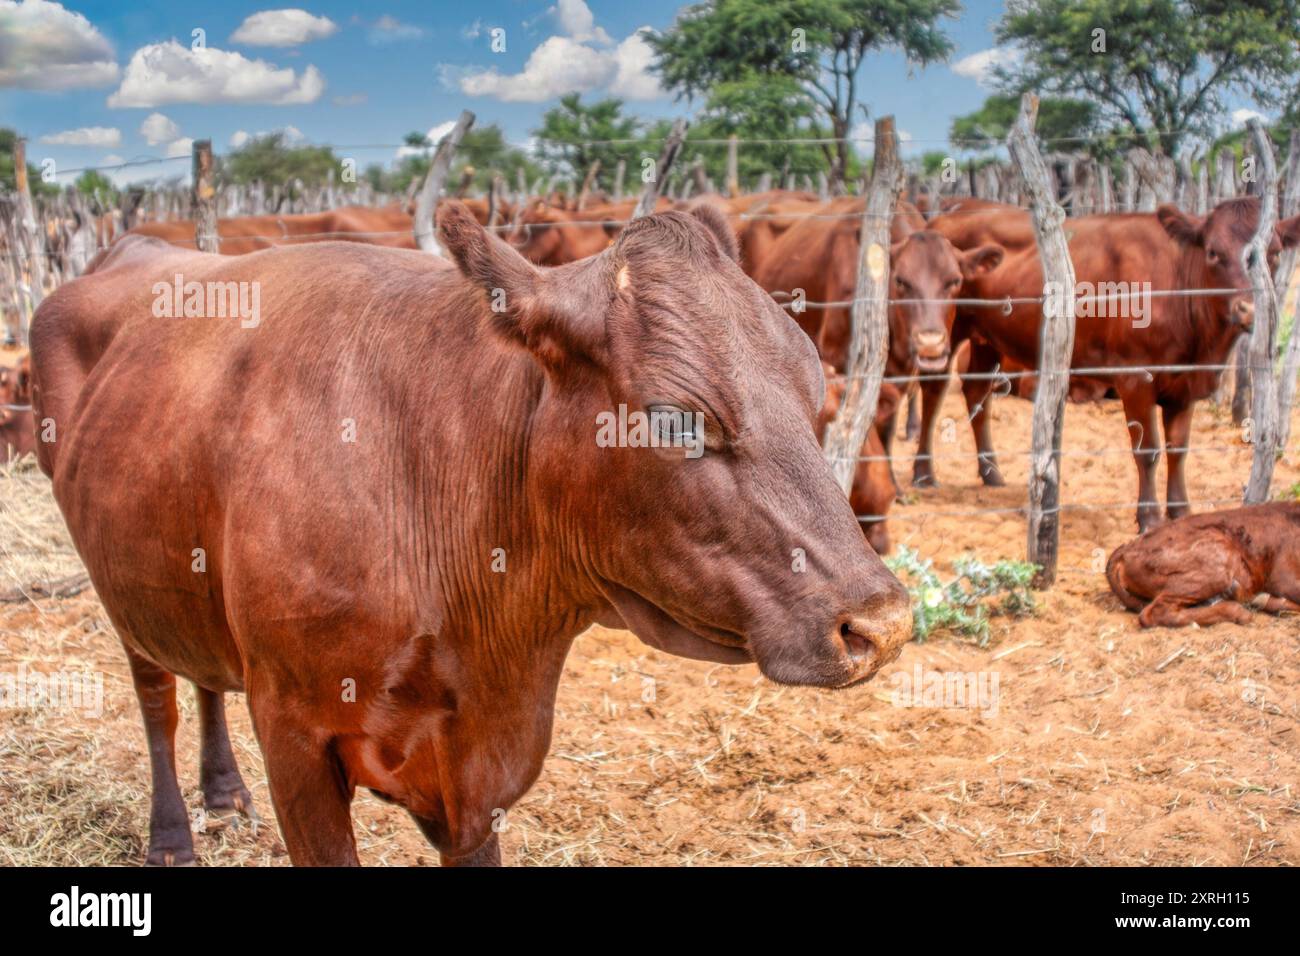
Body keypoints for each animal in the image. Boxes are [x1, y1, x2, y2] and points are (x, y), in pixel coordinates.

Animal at [29, 201, 913, 867]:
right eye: (674, 419)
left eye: (815, 387)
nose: (884, 622)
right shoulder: (294, 737)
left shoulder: (479, 778)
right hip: (116, 580)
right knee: (156, 698)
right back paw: (172, 836)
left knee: (203, 673)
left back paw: (222, 791)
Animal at [917, 197, 1300, 530]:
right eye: (1213, 253)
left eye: (1274, 253)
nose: (1248, 310)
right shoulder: (1135, 379)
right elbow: (1148, 451)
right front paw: (1149, 518)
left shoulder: (1183, 387)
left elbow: (1179, 450)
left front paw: (1180, 512)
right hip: (945, 331)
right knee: (934, 389)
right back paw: (923, 473)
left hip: (988, 338)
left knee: (976, 392)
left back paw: (991, 472)